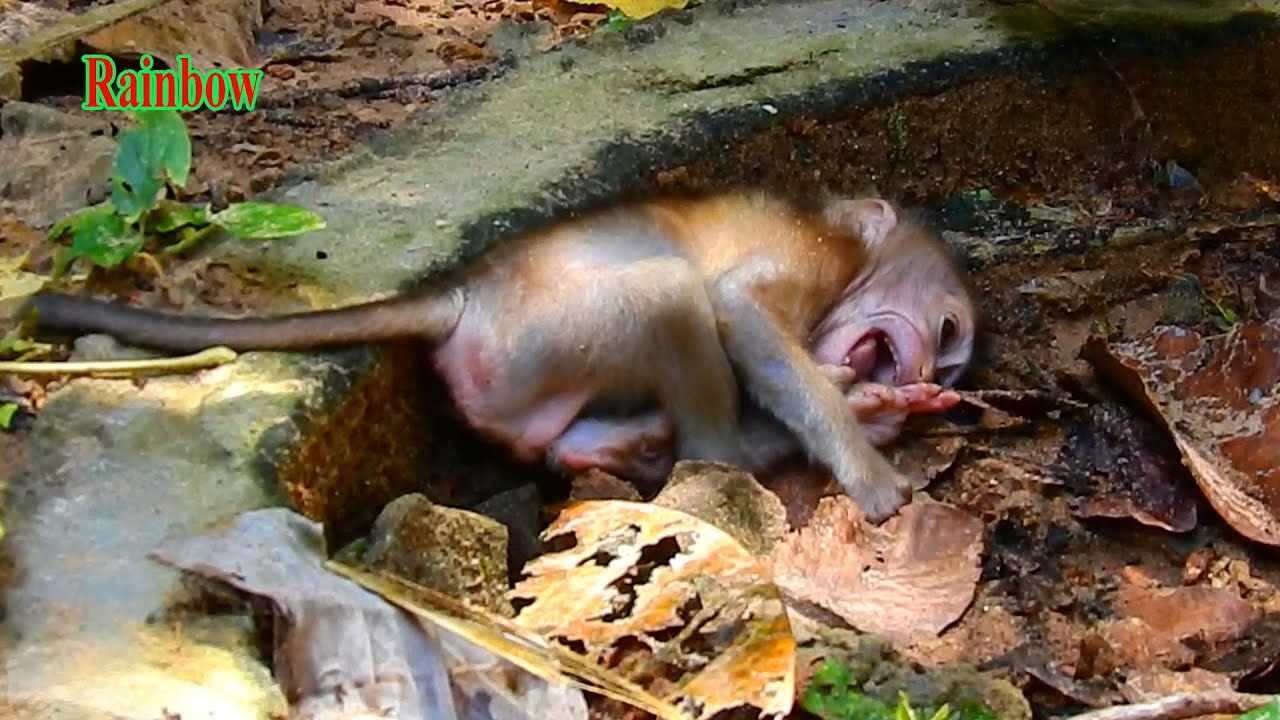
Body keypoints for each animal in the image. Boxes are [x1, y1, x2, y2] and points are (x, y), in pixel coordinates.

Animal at [18, 191, 976, 522]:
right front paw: (874, 479)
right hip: (541, 338)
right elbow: (739, 309)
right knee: (674, 296)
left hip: (528, 374)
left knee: (556, 437)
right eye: (952, 332)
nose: (937, 374)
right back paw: (756, 446)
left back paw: (609, 447)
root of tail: (466, 295)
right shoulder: (814, 261)